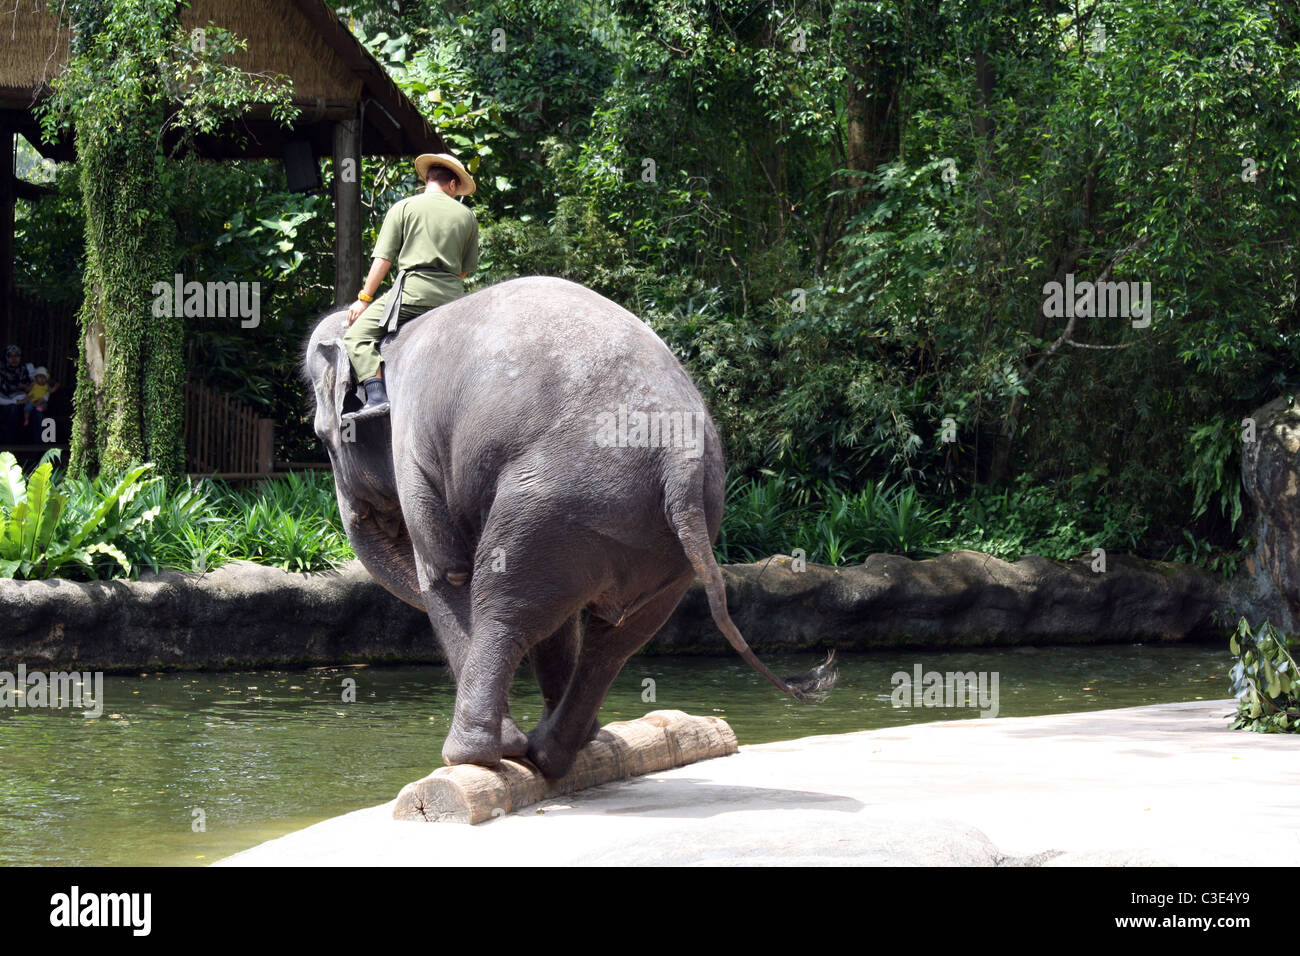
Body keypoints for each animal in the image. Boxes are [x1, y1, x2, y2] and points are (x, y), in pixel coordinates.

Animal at [304, 276, 837, 779]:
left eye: (323, 438)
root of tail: (677, 458)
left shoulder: (414, 443)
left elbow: (445, 571)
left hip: (554, 499)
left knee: (506, 607)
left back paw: (477, 754)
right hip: (662, 535)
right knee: (614, 638)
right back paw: (557, 749)